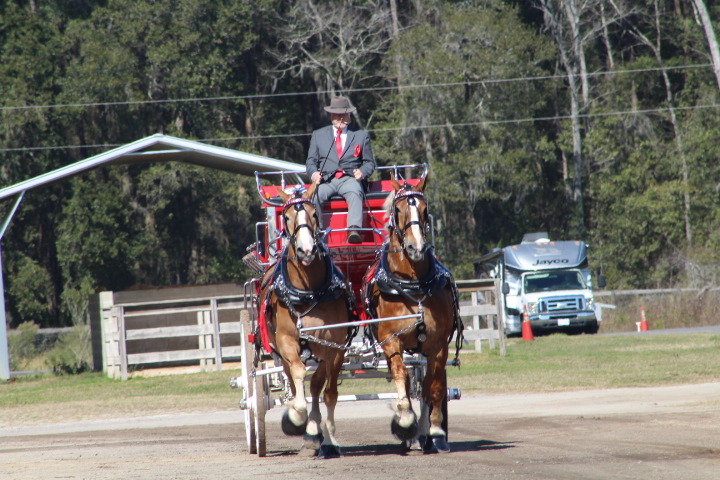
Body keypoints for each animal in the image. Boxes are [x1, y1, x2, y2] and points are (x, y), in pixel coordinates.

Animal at [256, 182, 356, 458]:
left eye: (314, 214)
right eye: (287, 218)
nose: (307, 250)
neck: (309, 291)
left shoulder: (335, 347)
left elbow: (327, 392)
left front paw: (326, 437)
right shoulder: (287, 341)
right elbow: (298, 377)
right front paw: (294, 418)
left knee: (316, 386)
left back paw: (313, 434)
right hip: (281, 349)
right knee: (293, 378)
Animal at [362, 172, 463, 453]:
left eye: (425, 209)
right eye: (397, 210)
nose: (415, 247)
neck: (413, 285)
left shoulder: (438, 345)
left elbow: (433, 386)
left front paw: (434, 429)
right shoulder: (390, 340)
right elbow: (401, 376)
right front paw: (406, 420)